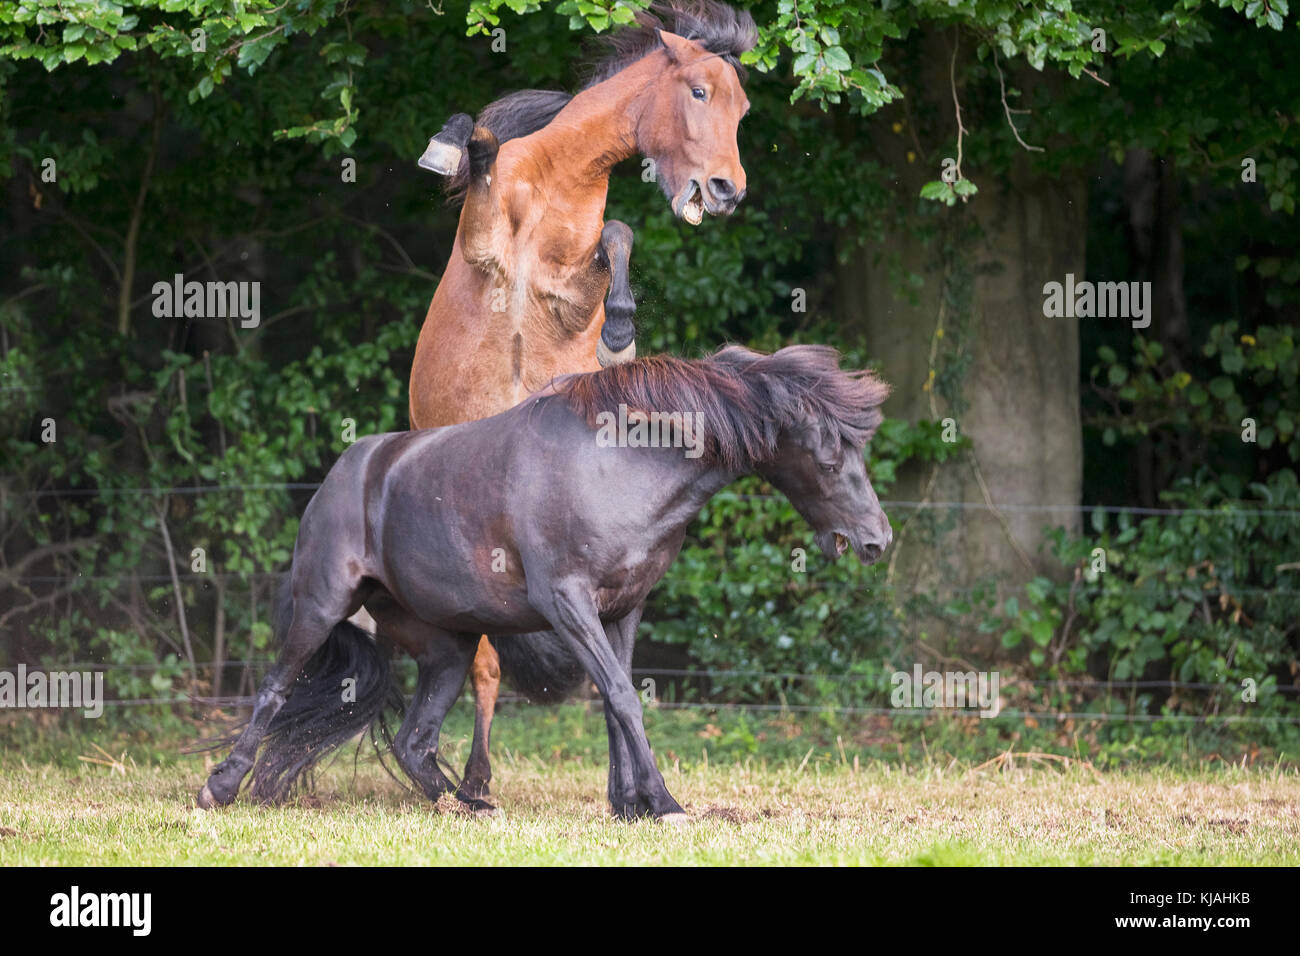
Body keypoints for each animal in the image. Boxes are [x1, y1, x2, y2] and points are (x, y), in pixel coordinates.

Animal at [196, 345, 892, 819]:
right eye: (830, 455)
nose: (876, 541)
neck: (618, 466)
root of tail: (346, 472)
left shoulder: (622, 611)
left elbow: (614, 701)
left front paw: (628, 804)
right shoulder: (567, 603)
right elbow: (623, 696)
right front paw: (663, 803)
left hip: (447, 648)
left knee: (414, 743)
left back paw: (468, 806)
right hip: (320, 608)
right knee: (275, 690)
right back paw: (220, 786)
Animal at [407, 0, 757, 801]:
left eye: (743, 108)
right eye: (699, 92)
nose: (728, 192)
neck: (553, 181)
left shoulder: (572, 289)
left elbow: (619, 236)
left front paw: (621, 333)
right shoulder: (482, 245)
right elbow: (479, 149)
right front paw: (447, 145)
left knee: (574, 671)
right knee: (485, 663)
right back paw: (476, 781)